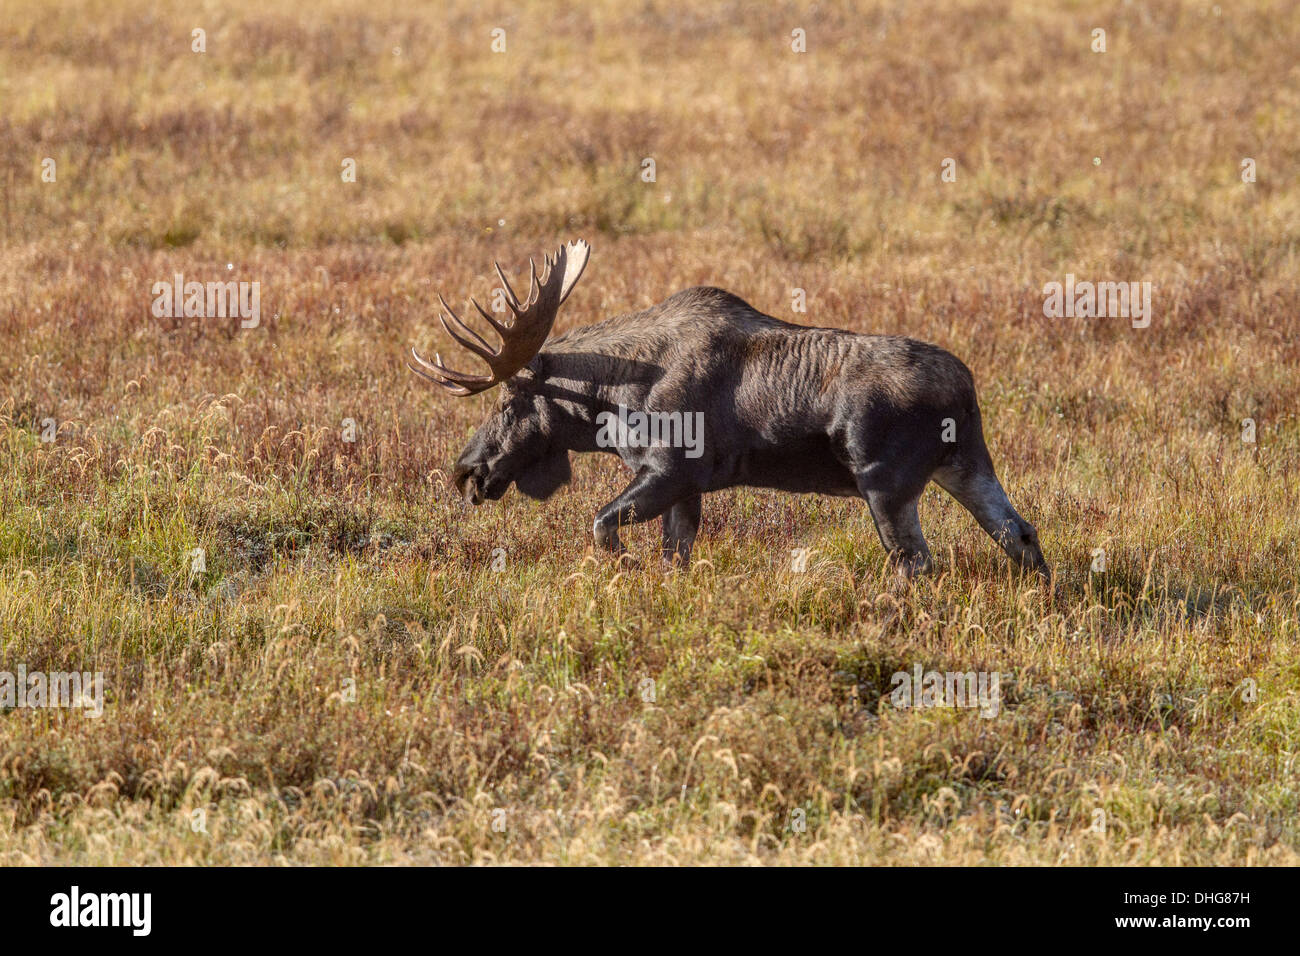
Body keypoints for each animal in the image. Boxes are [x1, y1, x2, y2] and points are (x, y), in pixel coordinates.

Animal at [409, 240, 1049, 579]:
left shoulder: (671, 469)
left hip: (885, 486)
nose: (466, 471)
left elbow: (601, 526)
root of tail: (965, 390)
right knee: (1020, 534)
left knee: (916, 561)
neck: (610, 402)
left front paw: (625, 572)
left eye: (510, 401)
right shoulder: (686, 487)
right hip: (967, 466)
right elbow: (674, 555)